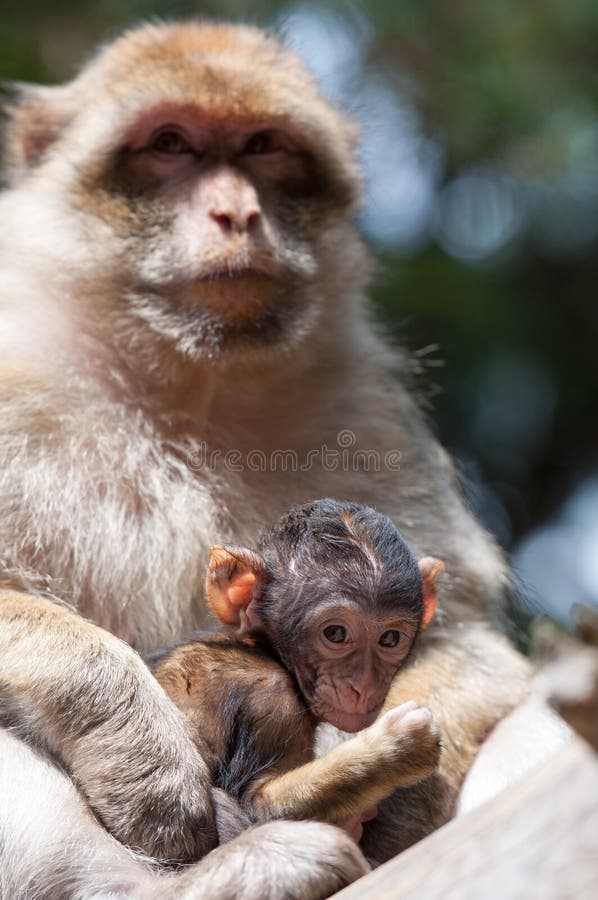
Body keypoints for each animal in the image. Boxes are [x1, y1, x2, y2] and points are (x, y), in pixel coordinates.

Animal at [150, 499, 443, 833]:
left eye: (390, 639)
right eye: (335, 634)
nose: (364, 685)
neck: (267, 653)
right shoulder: (274, 704)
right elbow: (260, 808)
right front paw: (398, 748)